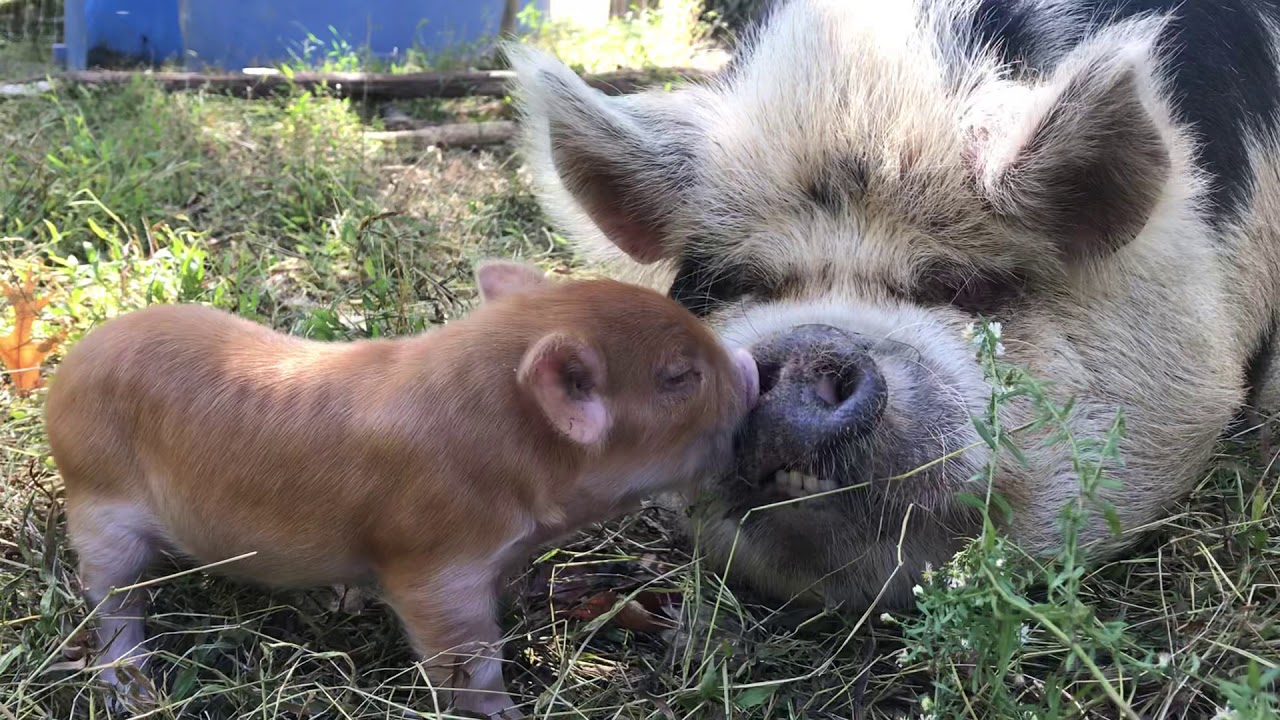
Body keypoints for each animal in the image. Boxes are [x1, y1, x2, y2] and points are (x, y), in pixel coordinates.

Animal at [44, 260, 759, 719]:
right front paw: (506, 712)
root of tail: (70, 368)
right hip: (99, 505)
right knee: (110, 602)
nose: (756, 366)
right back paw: (134, 690)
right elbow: (469, 655)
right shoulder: (433, 565)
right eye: (680, 375)